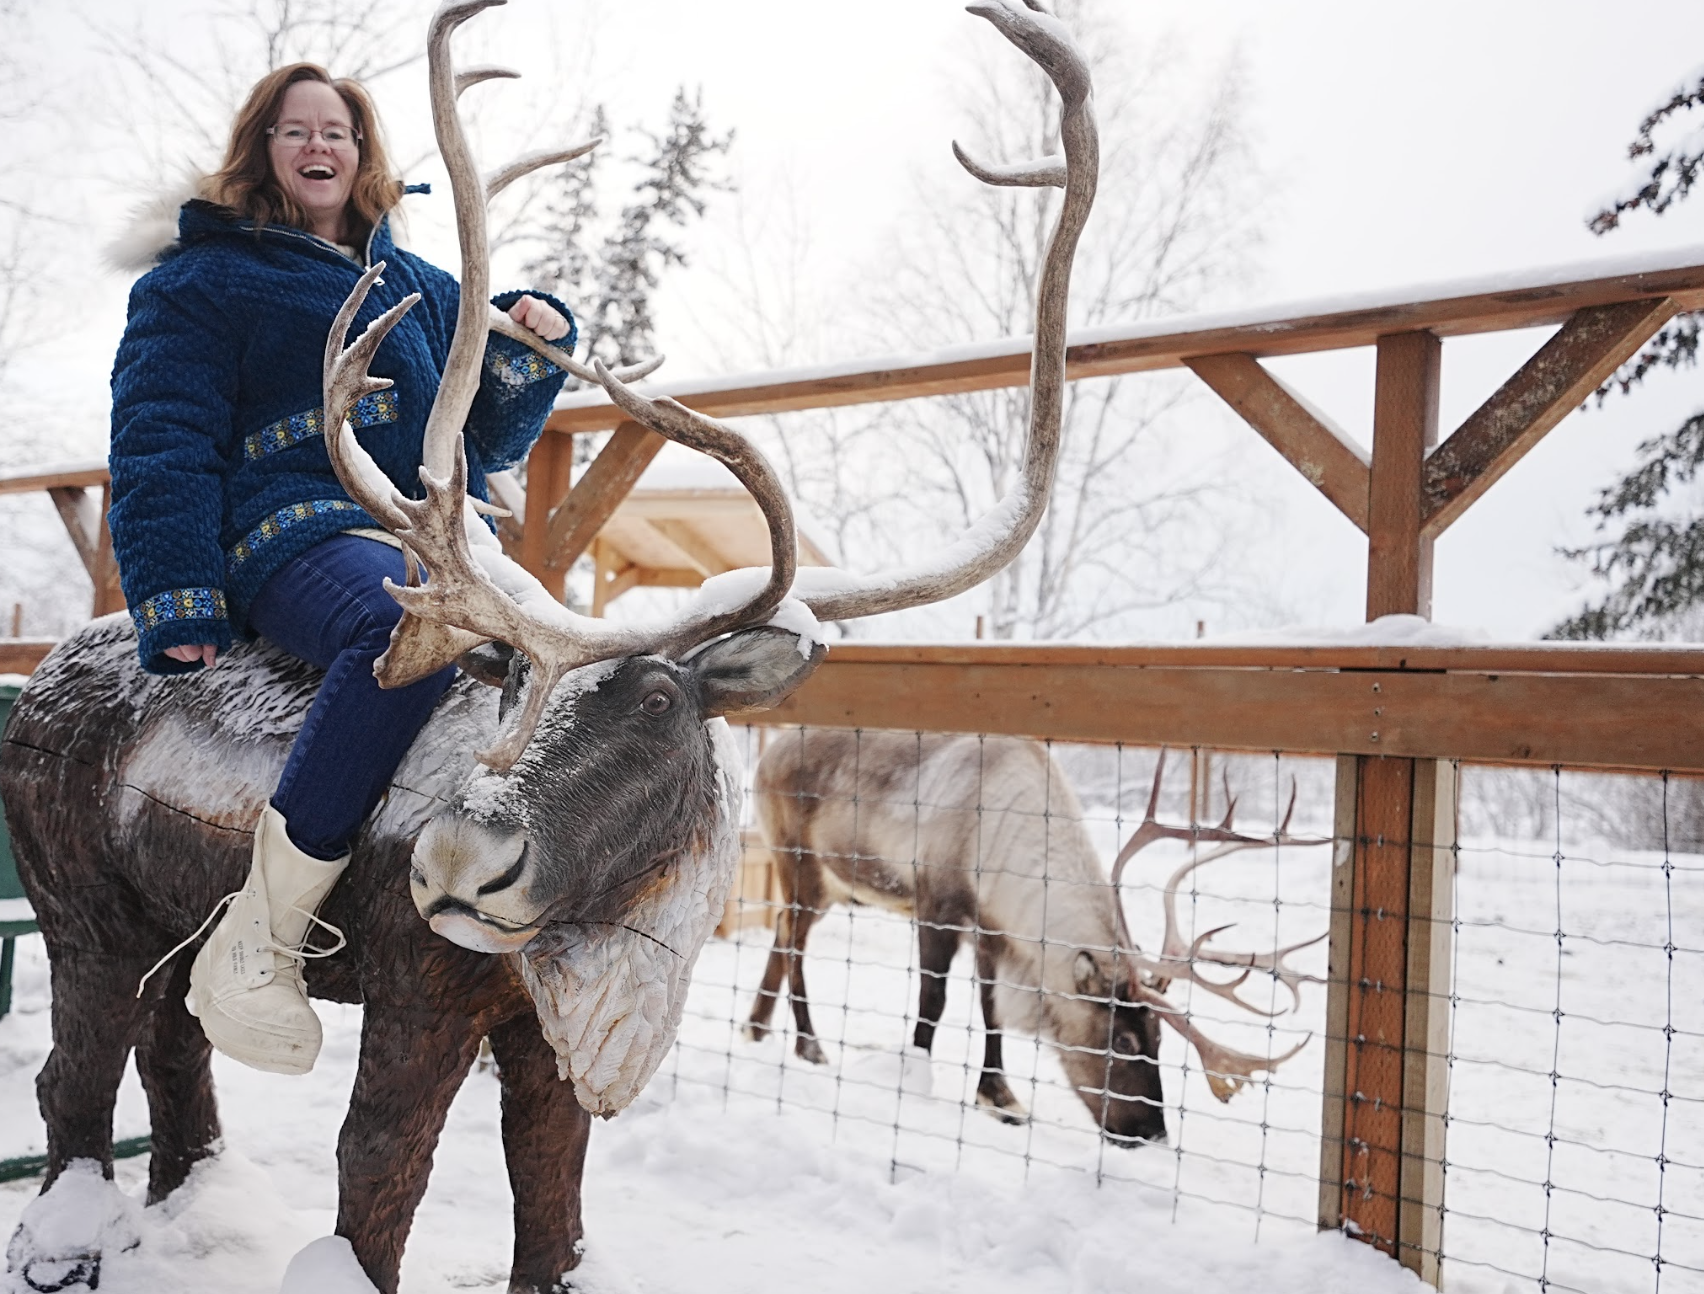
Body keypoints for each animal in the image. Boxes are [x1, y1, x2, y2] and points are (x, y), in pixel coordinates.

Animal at [0, 2, 1099, 1290]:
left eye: (665, 702)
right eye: (509, 672)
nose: (456, 861)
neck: (601, 922)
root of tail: (42, 679)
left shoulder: (543, 1030)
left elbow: (552, 1186)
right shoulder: (421, 992)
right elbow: (379, 1168)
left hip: (169, 921)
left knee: (174, 1047)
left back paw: (194, 1208)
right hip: (80, 911)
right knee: (75, 1073)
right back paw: (69, 1245)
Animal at [745, 736, 1324, 1144]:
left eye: (1160, 1038)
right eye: (1123, 1041)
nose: (1151, 1133)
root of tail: (769, 751)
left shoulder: (993, 932)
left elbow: (991, 1009)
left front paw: (1001, 1096)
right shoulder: (937, 905)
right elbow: (934, 999)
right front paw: (914, 1077)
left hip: (830, 887)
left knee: (781, 936)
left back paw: (756, 1028)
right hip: (799, 862)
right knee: (793, 946)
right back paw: (809, 1045)